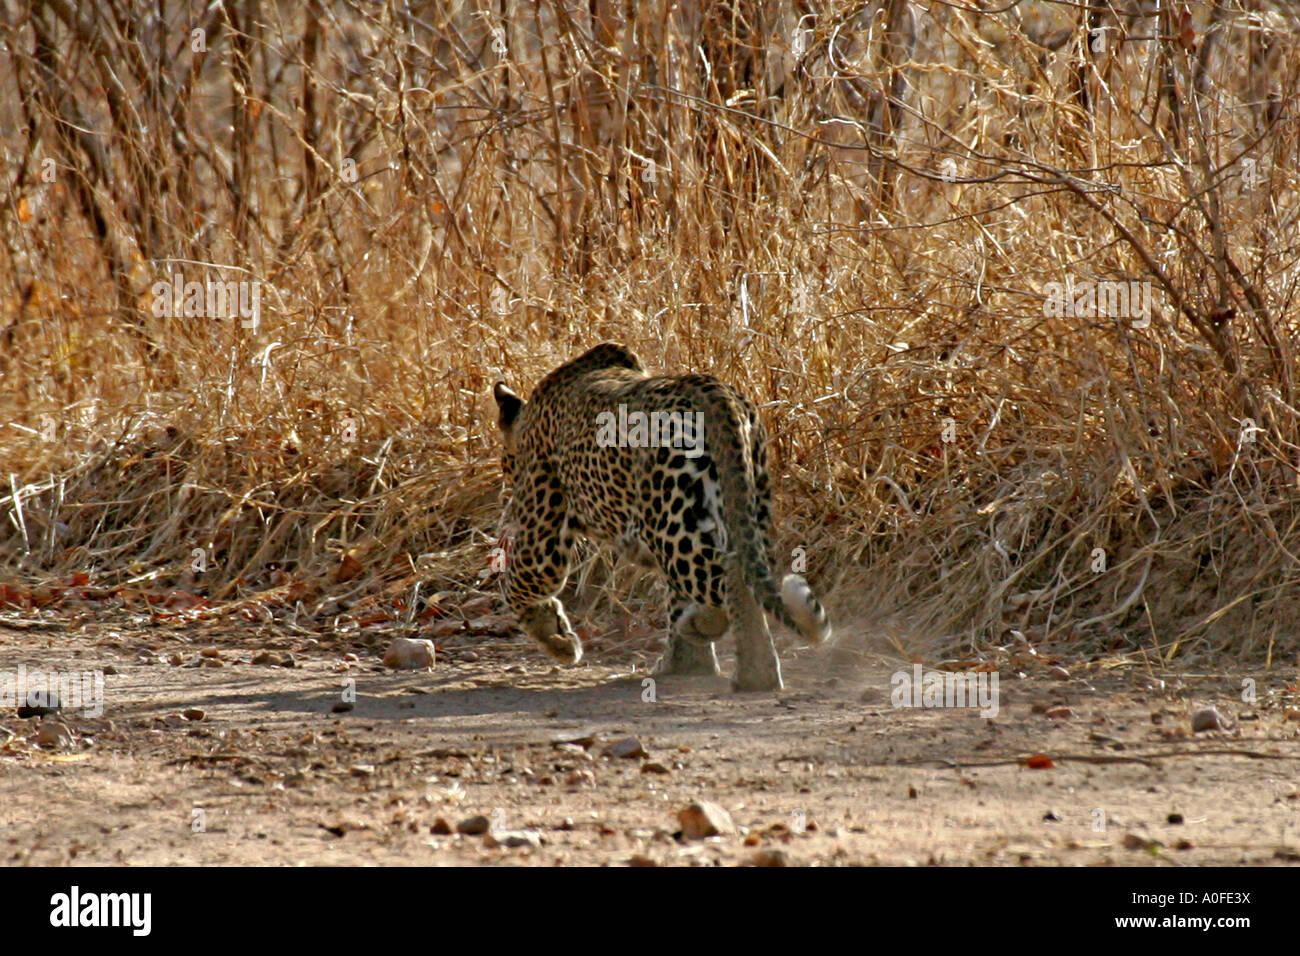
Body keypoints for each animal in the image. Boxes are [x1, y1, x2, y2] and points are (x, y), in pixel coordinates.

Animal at [490, 343, 831, 692]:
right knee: (740, 569)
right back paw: (745, 667)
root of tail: (715, 392)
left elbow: (519, 583)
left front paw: (557, 640)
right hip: (742, 502)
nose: (507, 494)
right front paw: (684, 664)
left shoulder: (543, 519)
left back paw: (717, 643)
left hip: (671, 520)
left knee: (725, 576)